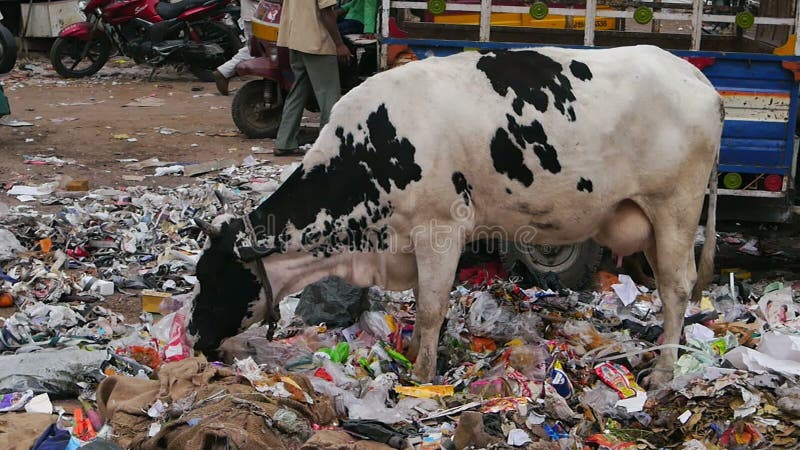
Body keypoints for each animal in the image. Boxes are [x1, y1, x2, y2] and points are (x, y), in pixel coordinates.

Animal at [187, 44, 722, 387]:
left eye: (211, 277)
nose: (191, 336)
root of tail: (695, 77)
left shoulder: (439, 229)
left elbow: (429, 307)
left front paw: (422, 375)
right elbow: (423, 305)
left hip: (675, 207)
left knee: (676, 287)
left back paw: (663, 371)